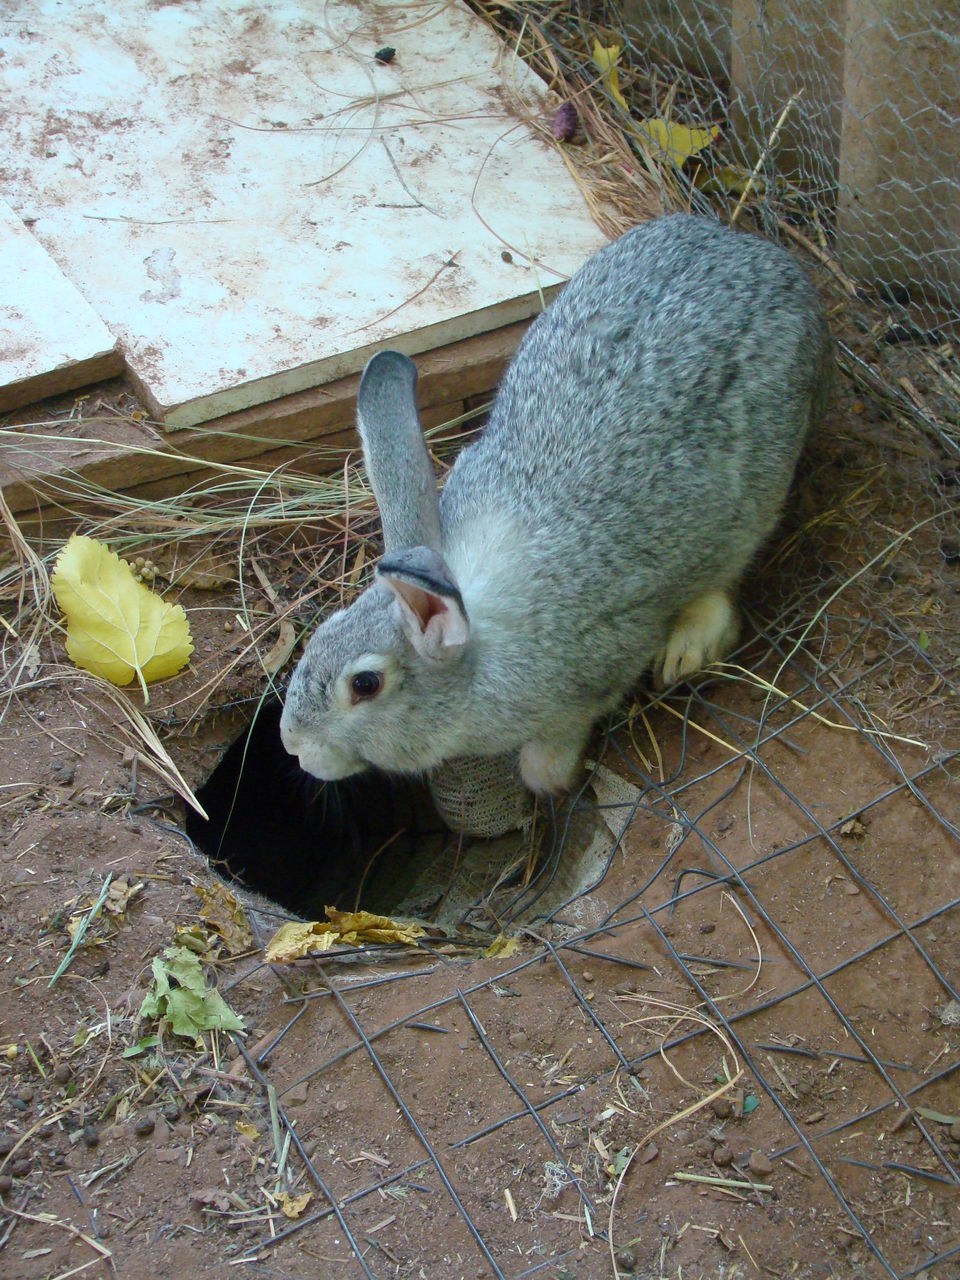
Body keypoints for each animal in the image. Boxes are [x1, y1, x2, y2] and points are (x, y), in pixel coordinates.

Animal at [280, 213, 833, 795]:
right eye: (324, 630)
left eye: (365, 684)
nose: (293, 744)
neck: (476, 644)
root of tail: (758, 250)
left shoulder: (592, 679)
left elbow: (553, 751)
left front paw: (546, 778)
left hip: (753, 500)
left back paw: (685, 652)